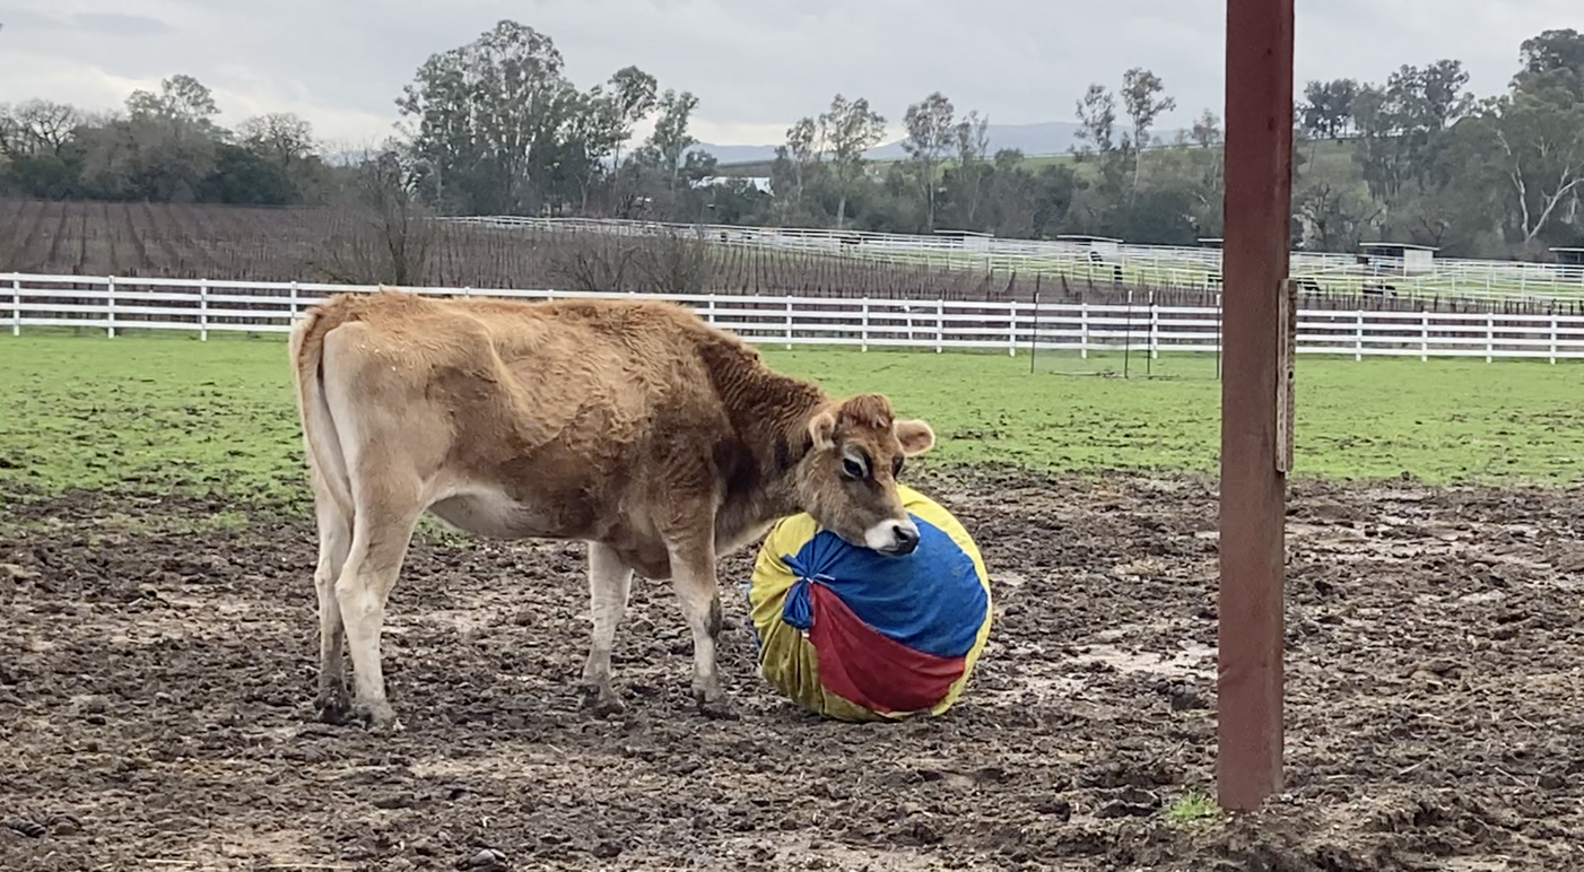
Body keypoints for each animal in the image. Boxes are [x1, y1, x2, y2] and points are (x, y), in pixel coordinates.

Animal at [288, 289, 936, 730]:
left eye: (897, 464)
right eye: (853, 464)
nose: (905, 534)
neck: (711, 388)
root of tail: (349, 306)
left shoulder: (612, 533)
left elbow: (607, 610)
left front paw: (598, 690)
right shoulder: (687, 517)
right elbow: (705, 610)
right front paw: (711, 693)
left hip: (337, 503)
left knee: (325, 583)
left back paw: (332, 695)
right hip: (390, 505)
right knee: (358, 591)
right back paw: (377, 706)